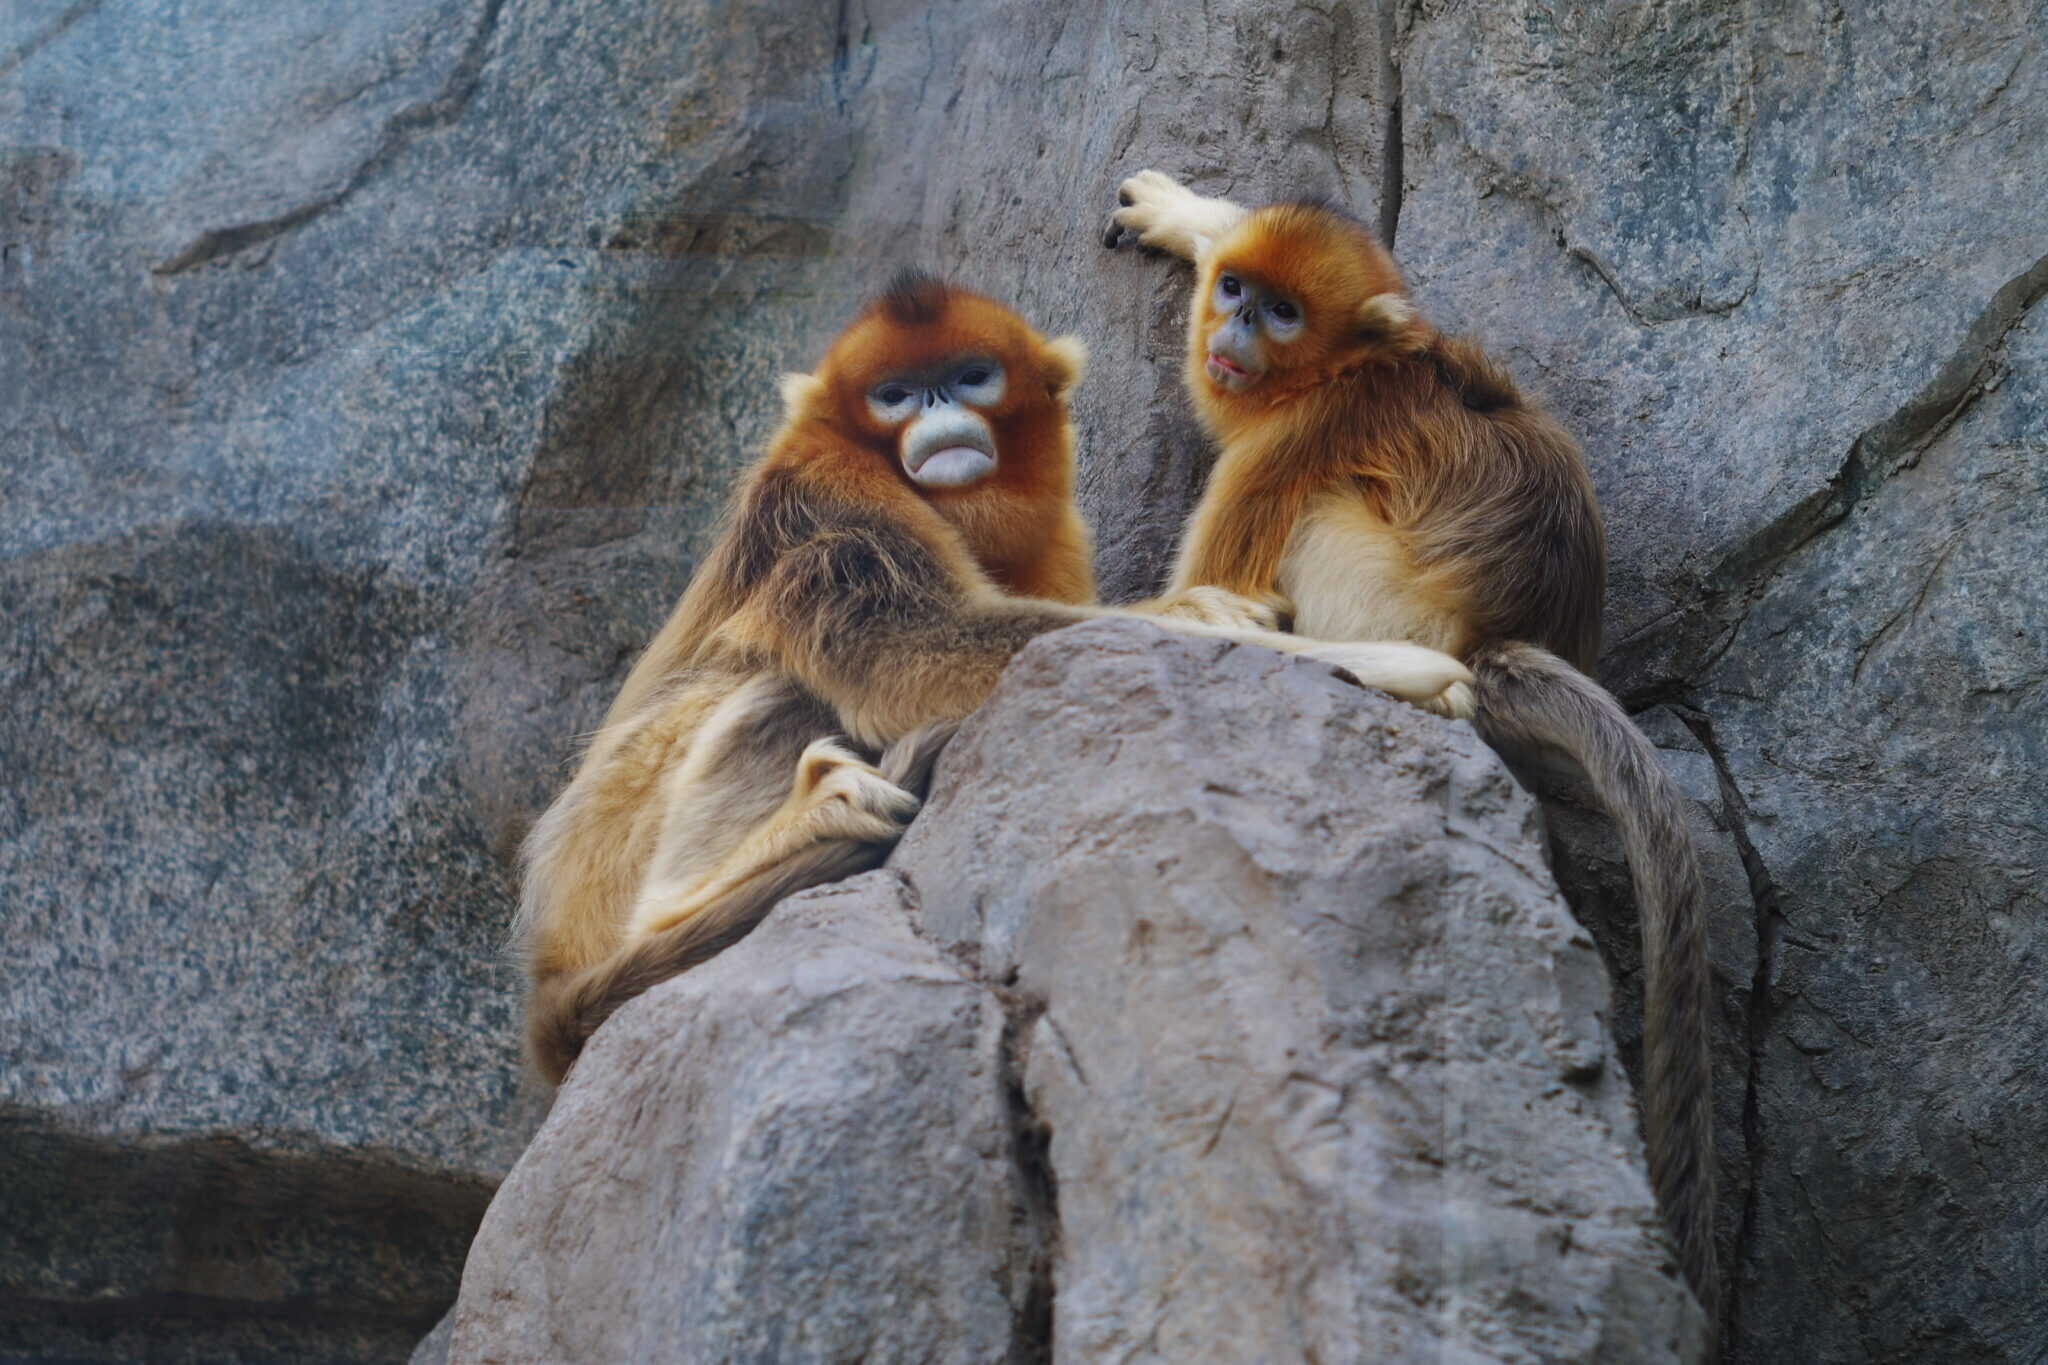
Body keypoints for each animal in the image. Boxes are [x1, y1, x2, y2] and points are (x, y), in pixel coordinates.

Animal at [514, 271, 1478, 1085]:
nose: (939, 406)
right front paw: (1392, 662)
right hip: (614, 834)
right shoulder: (831, 493)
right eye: (895, 394)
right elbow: (926, 655)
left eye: (970, 376)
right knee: (781, 685)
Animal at [1103, 173, 1718, 1320]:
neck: (1355, 368)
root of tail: (1498, 646)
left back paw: (1396, 674)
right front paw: (1189, 214)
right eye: (1238, 290)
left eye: (1282, 313)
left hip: (1367, 562)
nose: (1232, 329)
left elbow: (1196, 586)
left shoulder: (1295, 439)